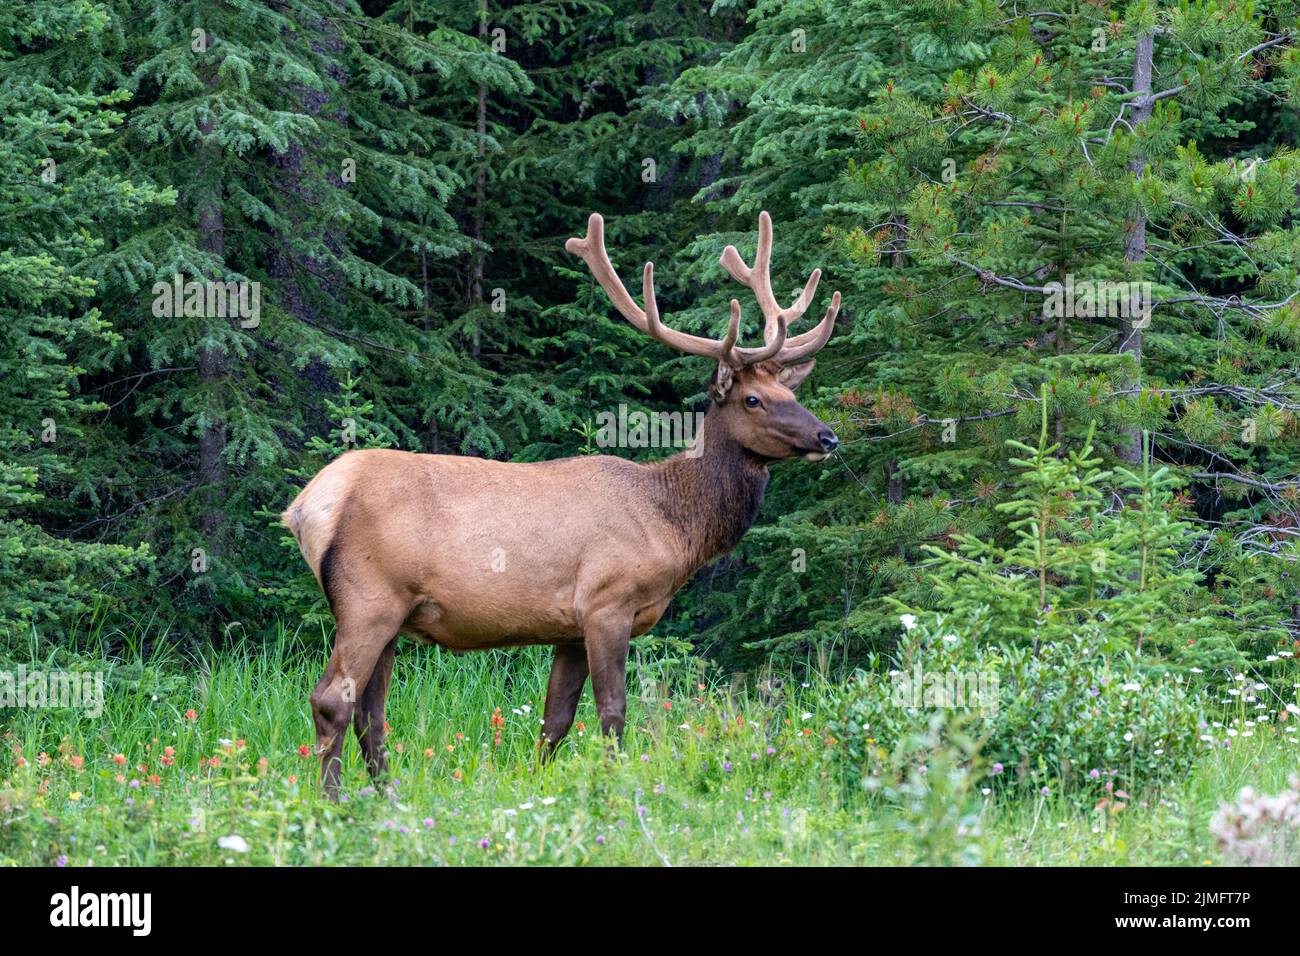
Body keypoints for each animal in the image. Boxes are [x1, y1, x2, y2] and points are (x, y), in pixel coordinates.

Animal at [282, 210, 841, 798]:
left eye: (793, 394)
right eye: (753, 400)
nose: (827, 438)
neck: (672, 524)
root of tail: (305, 507)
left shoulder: (569, 626)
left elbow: (556, 719)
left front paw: (542, 789)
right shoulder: (606, 601)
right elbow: (612, 712)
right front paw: (616, 790)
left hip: (391, 613)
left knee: (371, 709)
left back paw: (386, 795)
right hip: (369, 597)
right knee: (331, 700)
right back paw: (333, 800)